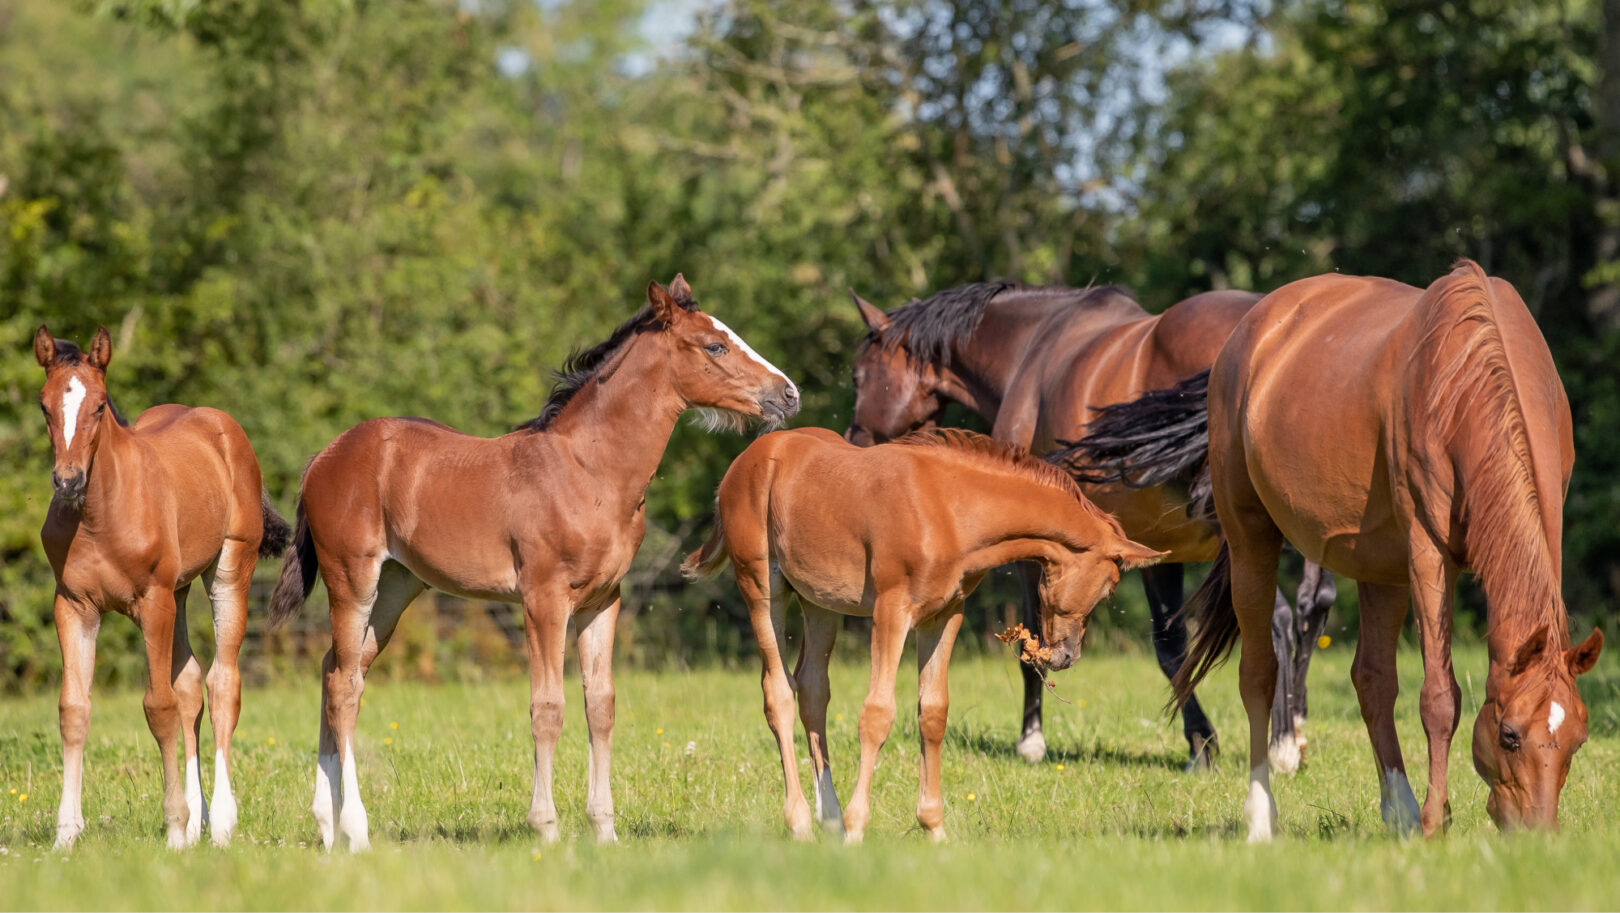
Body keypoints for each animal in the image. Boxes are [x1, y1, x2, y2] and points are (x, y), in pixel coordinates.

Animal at [33, 325, 290, 850]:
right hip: (180, 591)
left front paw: (173, 827)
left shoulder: (151, 602)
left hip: (229, 569)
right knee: (191, 683)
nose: (68, 481)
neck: (101, 515)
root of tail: (221, 425)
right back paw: (198, 822)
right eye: (45, 406)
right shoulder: (73, 607)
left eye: (99, 405)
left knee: (222, 682)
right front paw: (66, 833)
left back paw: (222, 822)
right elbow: (74, 709)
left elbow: (159, 705)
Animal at [267, 276, 799, 851]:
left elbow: (600, 706)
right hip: (353, 580)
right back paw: (355, 830)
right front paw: (546, 828)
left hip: (394, 589)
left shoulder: (601, 602)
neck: (588, 471)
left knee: (335, 672)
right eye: (715, 345)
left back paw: (326, 826)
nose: (788, 393)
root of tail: (323, 458)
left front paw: (605, 831)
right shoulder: (543, 599)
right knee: (344, 687)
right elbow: (548, 708)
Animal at [683, 427, 1164, 842]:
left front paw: (934, 829)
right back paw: (802, 822)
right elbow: (877, 713)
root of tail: (742, 462)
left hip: (820, 604)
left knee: (813, 692)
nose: (1065, 656)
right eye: (1109, 587)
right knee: (778, 693)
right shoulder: (891, 610)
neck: (950, 509)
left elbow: (932, 713)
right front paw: (858, 829)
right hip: (762, 589)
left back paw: (830, 819)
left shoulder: (944, 615)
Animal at [845, 282, 1337, 770]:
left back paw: (1281, 745)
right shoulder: (1158, 549)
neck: (1031, 346)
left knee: (1276, 616)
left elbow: (1032, 638)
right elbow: (1170, 644)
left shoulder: (1034, 551)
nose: (855, 443)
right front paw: (1201, 743)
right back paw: (1296, 724)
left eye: (858, 375)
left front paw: (1031, 741)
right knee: (1312, 605)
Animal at [1119, 261, 1605, 839]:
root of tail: (1249, 329)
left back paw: (1398, 811)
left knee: (1372, 680)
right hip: (1250, 538)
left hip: (1381, 568)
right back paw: (1262, 817)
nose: (1537, 835)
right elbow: (1439, 698)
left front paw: (1420, 818)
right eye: (1509, 734)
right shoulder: (1428, 552)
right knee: (1258, 672)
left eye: (1577, 739)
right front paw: (1434, 823)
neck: (1468, 376)